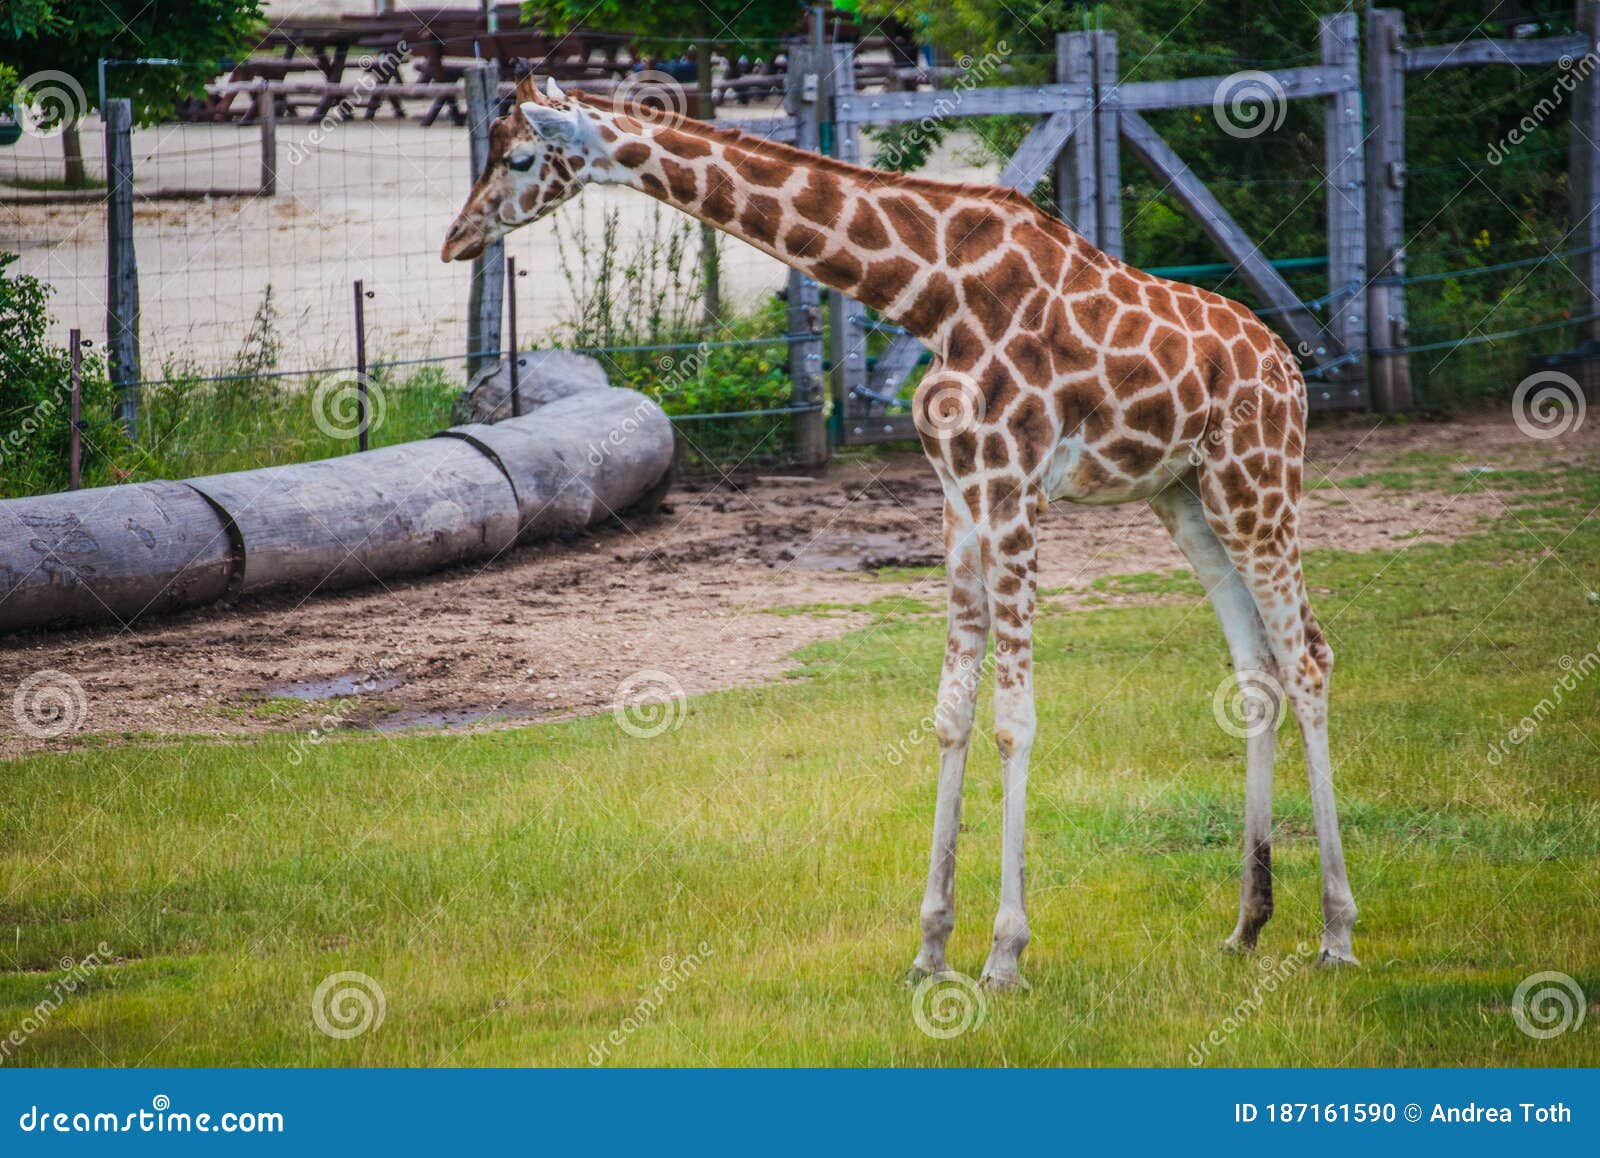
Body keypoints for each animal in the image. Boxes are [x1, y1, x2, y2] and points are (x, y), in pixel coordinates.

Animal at [442, 76, 1358, 989]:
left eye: (518, 157)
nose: (455, 239)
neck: (934, 297)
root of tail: (1290, 366)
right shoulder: (957, 496)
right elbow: (951, 712)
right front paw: (930, 950)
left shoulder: (1013, 491)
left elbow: (1012, 719)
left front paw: (1004, 955)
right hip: (1186, 498)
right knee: (1256, 670)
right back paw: (1247, 924)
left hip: (1256, 484)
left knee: (1310, 656)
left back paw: (1335, 934)